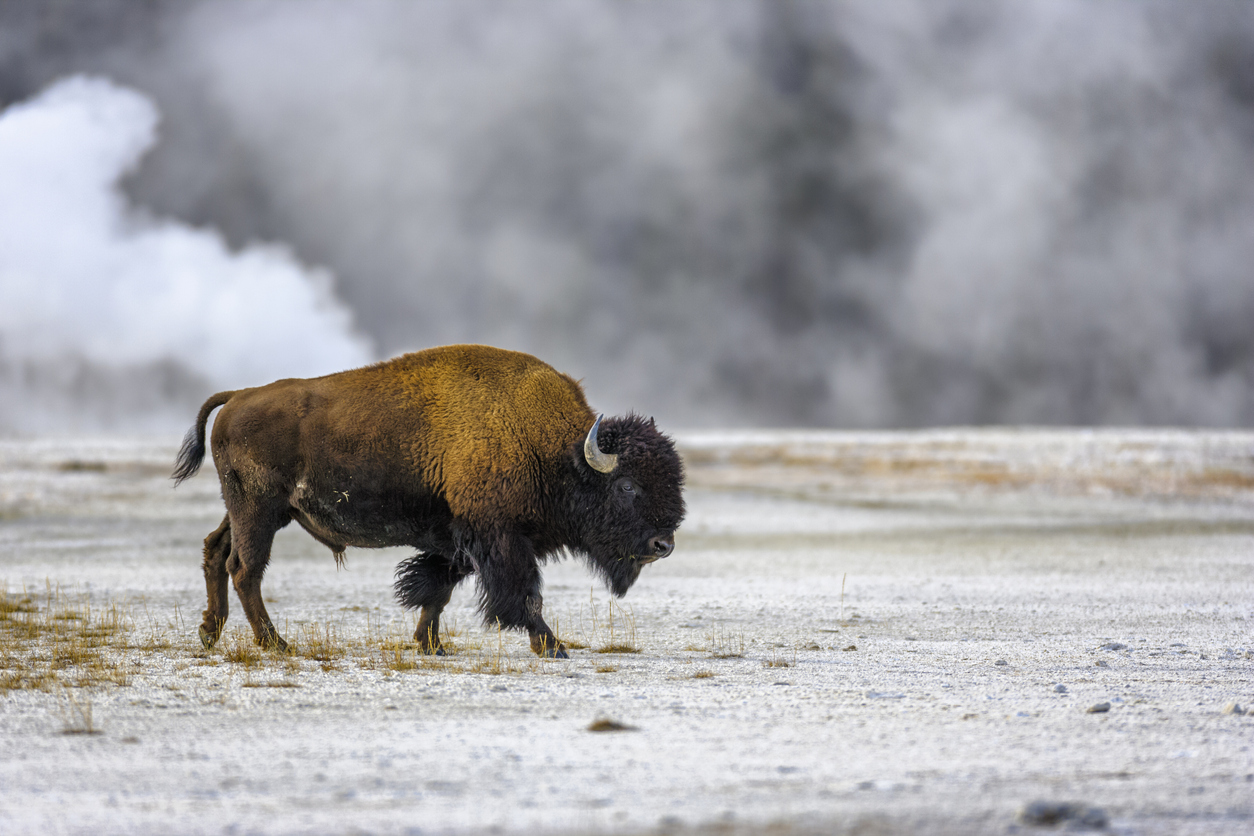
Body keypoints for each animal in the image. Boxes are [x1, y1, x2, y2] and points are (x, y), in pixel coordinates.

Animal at [171, 344, 685, 658]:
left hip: (253, 511)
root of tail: (239, 396)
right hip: (258, 511)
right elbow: (525, 595)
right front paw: (552, 645)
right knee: (245, 568)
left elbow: (437, 591)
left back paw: (210, 632)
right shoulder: (498, 538)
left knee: (216, 550)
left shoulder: (456, 538)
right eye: (627, 486)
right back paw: (275, 644)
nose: (664, 545)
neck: (553, 450)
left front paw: (430, 644)